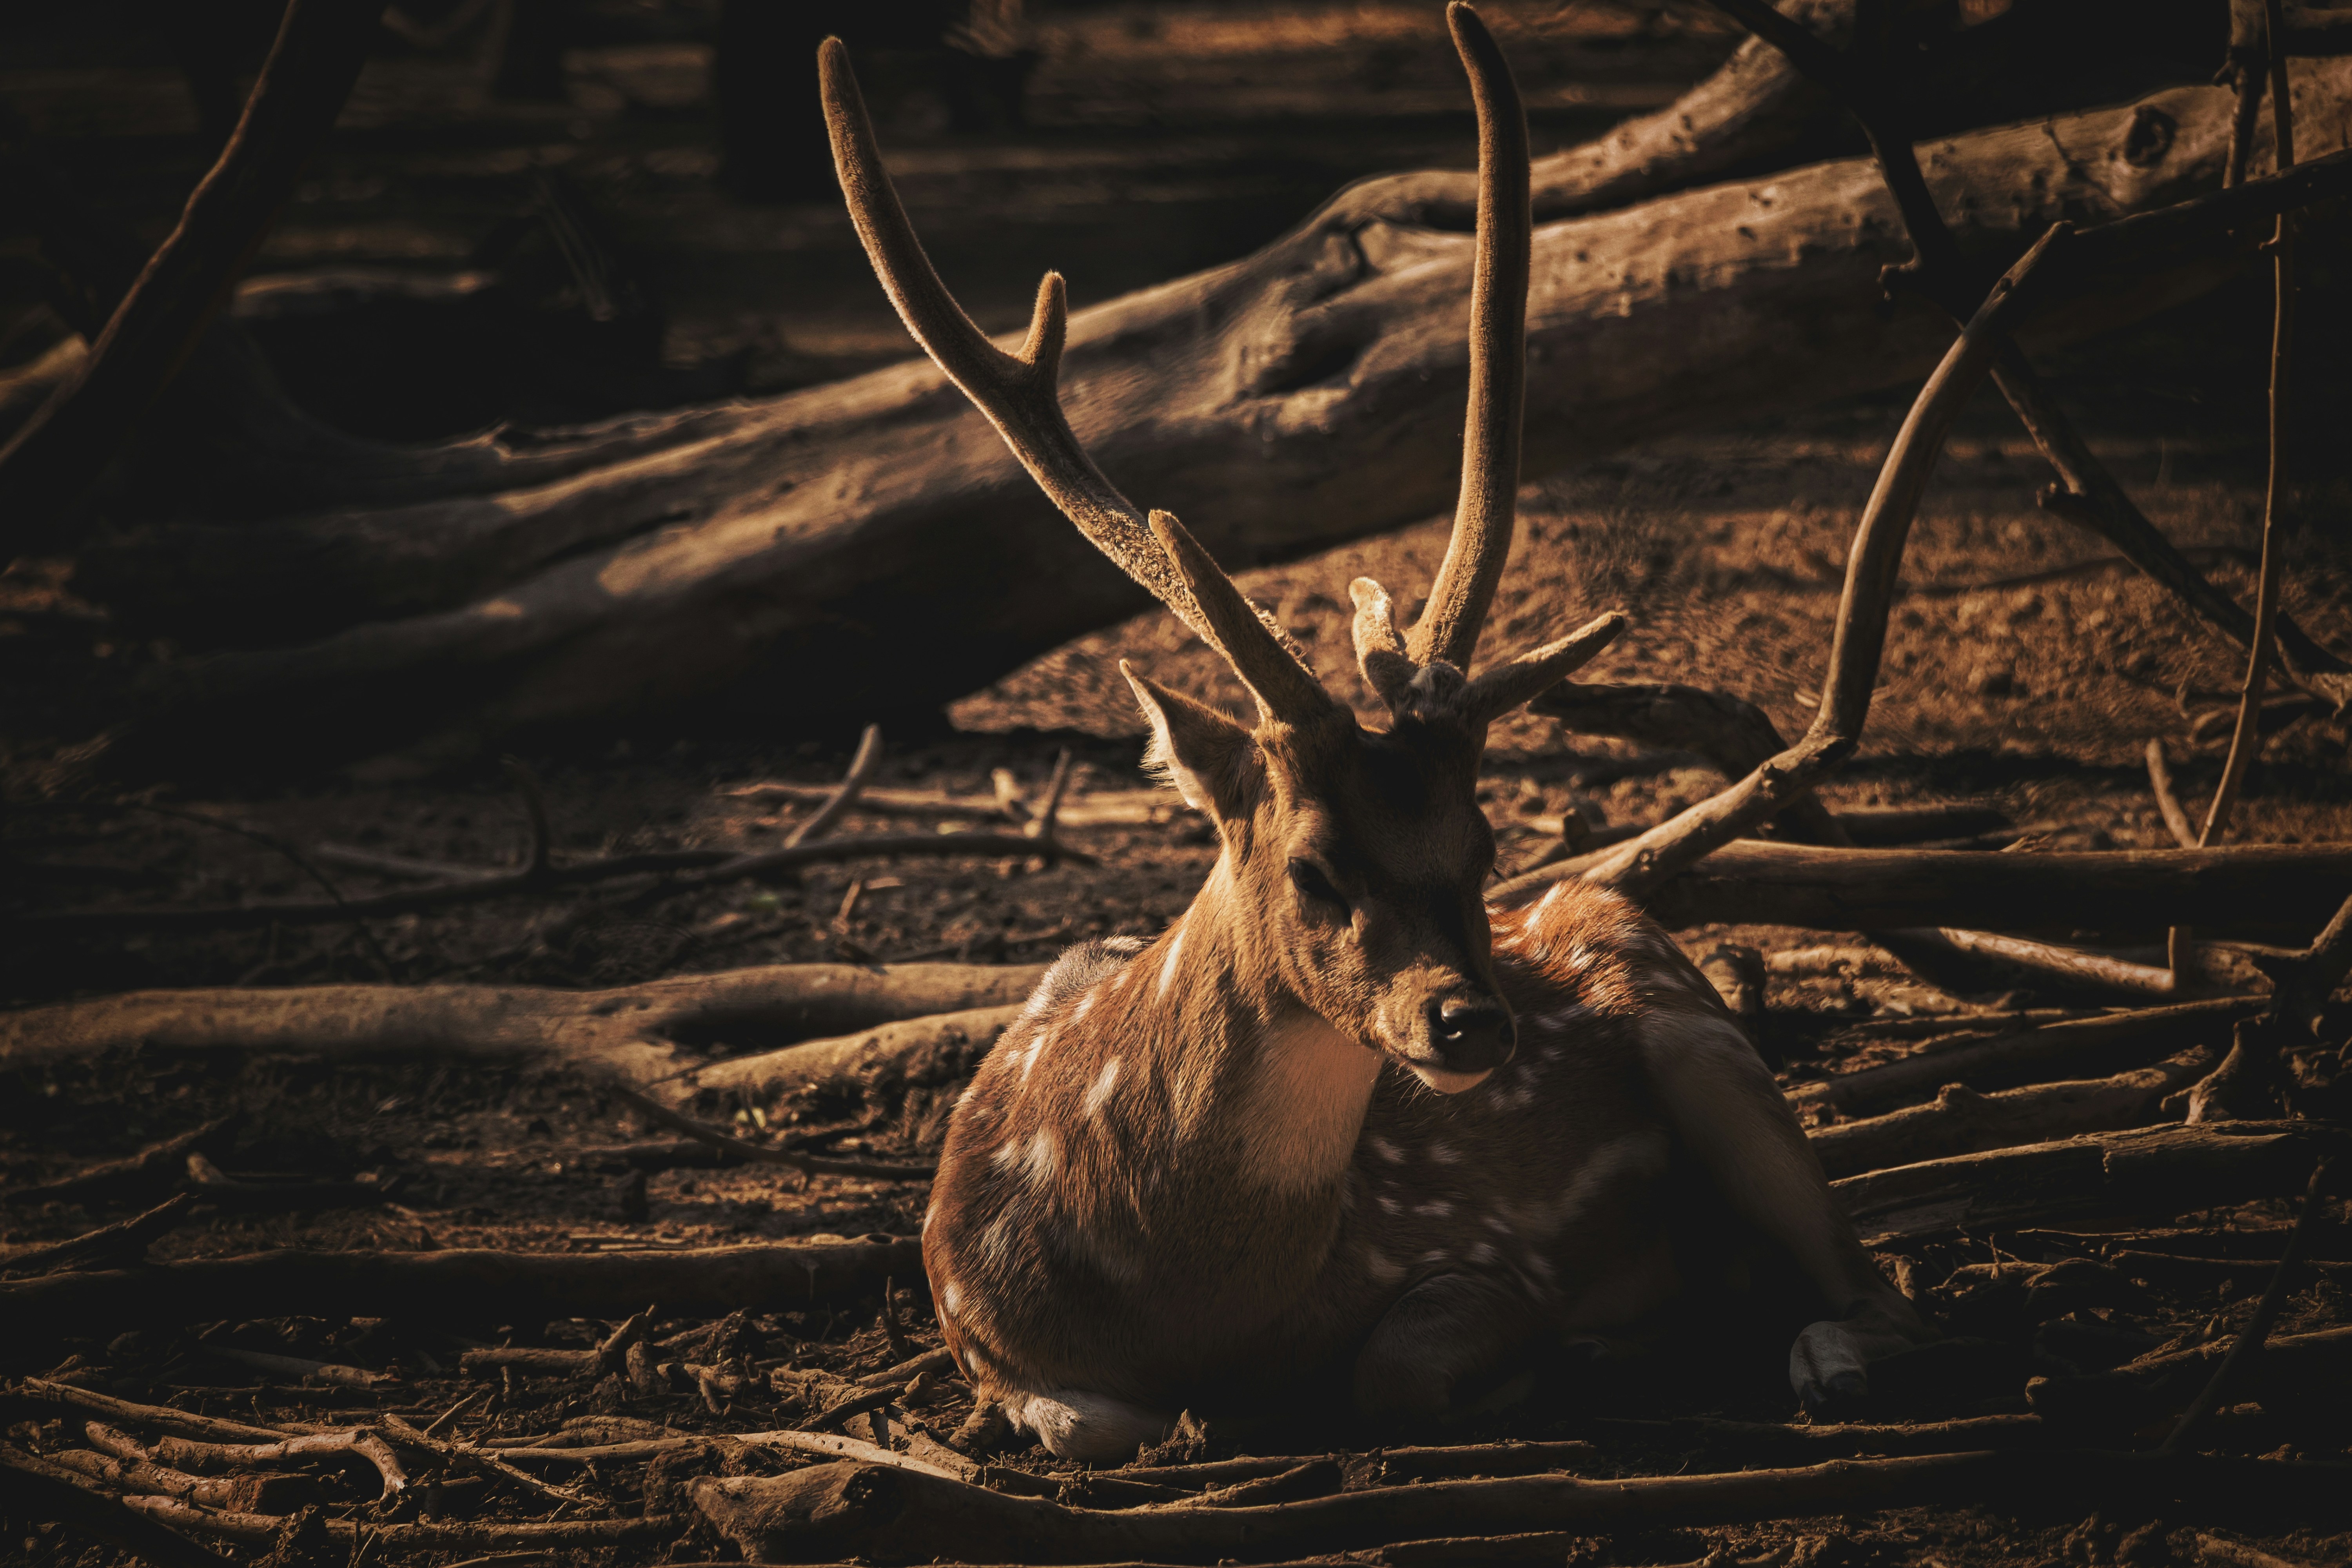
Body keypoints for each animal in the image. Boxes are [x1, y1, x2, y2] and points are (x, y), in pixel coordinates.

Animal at [818, 3, 1931, 1461]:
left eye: (1481, 843)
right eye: (1313, 864)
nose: (1472, 1023)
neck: (1178, 1297)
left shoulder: (1488, 1256)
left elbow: (1391, 1368)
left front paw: (1570, 1355)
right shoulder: (970, 1325)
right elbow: (1088, 1420)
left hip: (1702, 1038)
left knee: (1878, 1278)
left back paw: (1801, 1354)